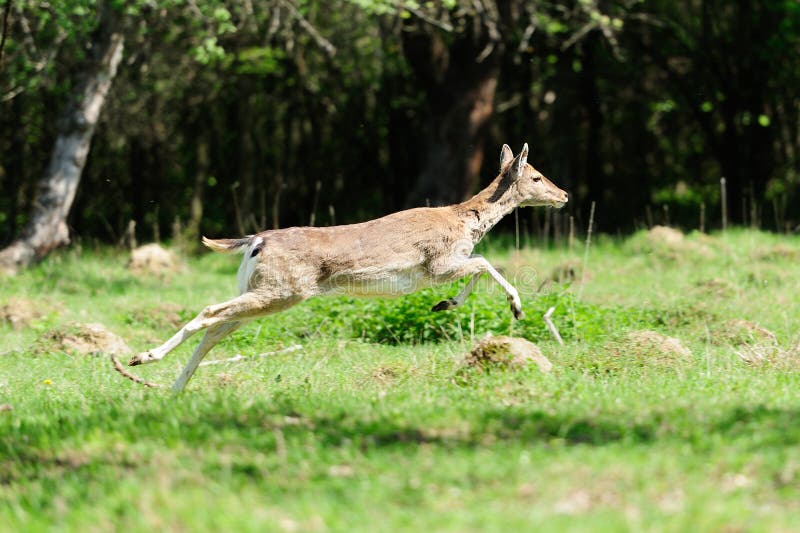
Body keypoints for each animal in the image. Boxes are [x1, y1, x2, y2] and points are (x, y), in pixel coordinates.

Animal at [127, 143, 568, 391]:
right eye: (536, 175)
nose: (564, 194)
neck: (465, 223)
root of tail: (254, 242)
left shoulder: (440, 268)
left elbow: (479, 268)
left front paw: (445, 304)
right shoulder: (437, 263)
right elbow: (484, 264)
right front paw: (515, 308)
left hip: (260, 291)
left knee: (216, 329)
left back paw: (172, 388)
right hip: (282, 289)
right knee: (208, 313)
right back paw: (143, 358)